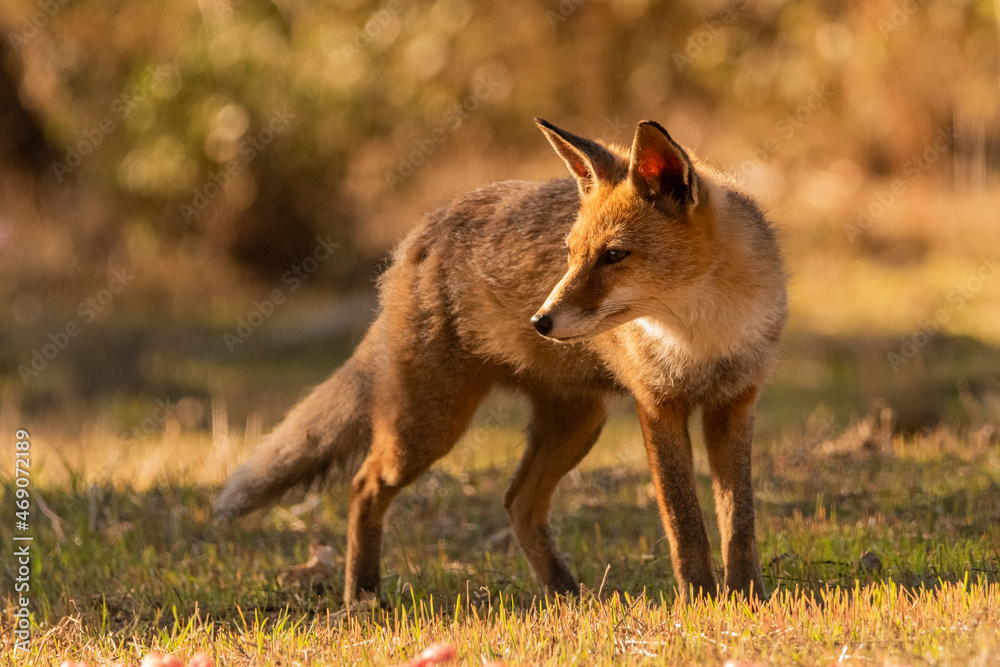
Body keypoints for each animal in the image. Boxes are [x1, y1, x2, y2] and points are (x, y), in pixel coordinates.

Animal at [215, 118, 788, 604]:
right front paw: (701, 601)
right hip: (426, 427)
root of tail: (421, 231)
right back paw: (363, 596)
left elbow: (739, 522)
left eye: (614, 256)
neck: (701, 336)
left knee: (518, 503)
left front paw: (747, 599)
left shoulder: (735, 405)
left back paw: (566, 596)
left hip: (578, 425)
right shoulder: (658, 407)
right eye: (572, 255)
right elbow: (685, 521)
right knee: (364, 485)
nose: (541, 321)